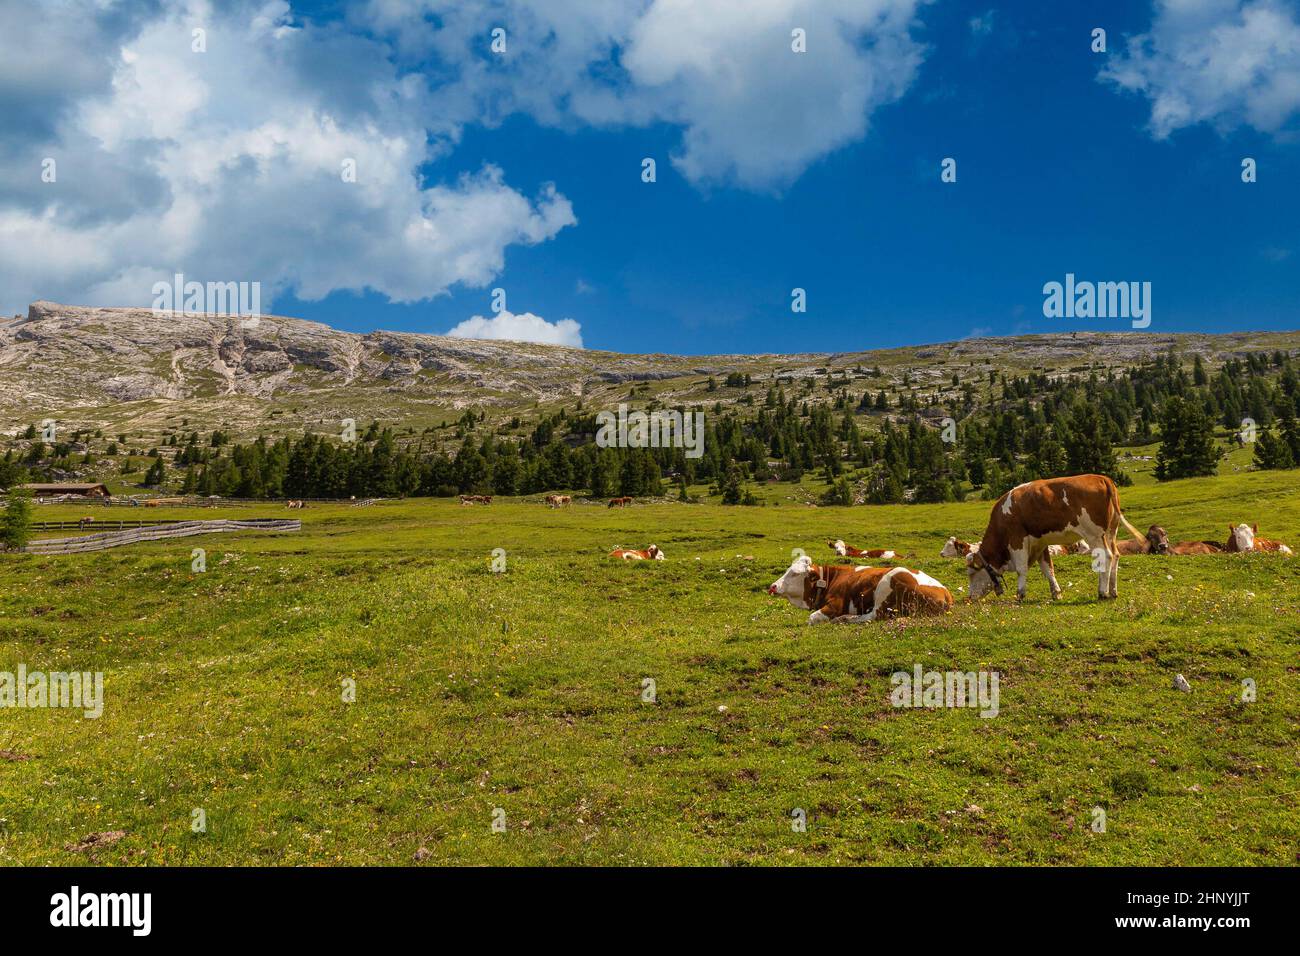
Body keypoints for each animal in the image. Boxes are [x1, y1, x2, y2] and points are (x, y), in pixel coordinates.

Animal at [768, 555, 952, 624]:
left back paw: (845, 618)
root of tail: (946, 593)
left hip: (888, 584)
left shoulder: (835, 604)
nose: (772, 586)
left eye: (794, 573)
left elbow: (812, 618)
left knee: (873, 616)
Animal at [964, 474, 1145, 602]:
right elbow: (1048, 568)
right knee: (1116, 555)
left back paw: (1102, 592)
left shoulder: (1017, 539)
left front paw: (1020, 594)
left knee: (1106, 557)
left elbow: (1022, 569)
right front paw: (1056, 593)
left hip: (1094, 535)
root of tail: (1101, 478)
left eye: (972, 573)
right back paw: (1113, 591)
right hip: (1111, 532)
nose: (970, 597)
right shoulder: (1040, 543)